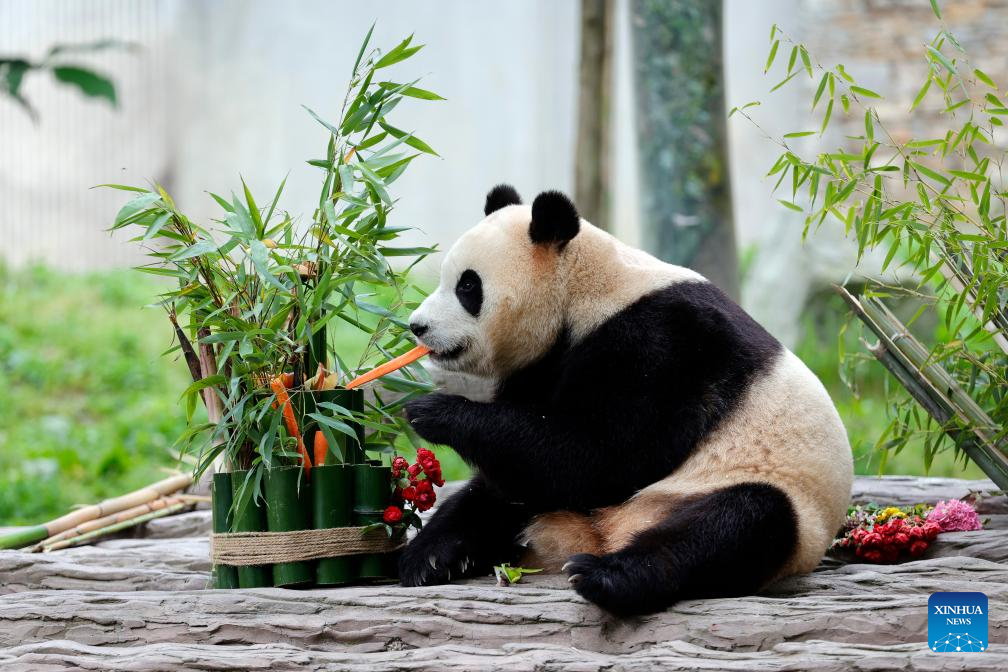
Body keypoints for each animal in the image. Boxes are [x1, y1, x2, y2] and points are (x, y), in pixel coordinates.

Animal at [400, 184, 853, 616]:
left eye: (468, 286)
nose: (417, 326)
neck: (583, 291)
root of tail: (603, 534)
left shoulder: (665, 344)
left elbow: (597, 457)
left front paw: (433, 411)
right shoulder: (545, 364)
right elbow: (538, 458)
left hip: (765, 499)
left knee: (738, 522)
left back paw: (606, 576)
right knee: (491, 496)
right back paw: (429, 557)